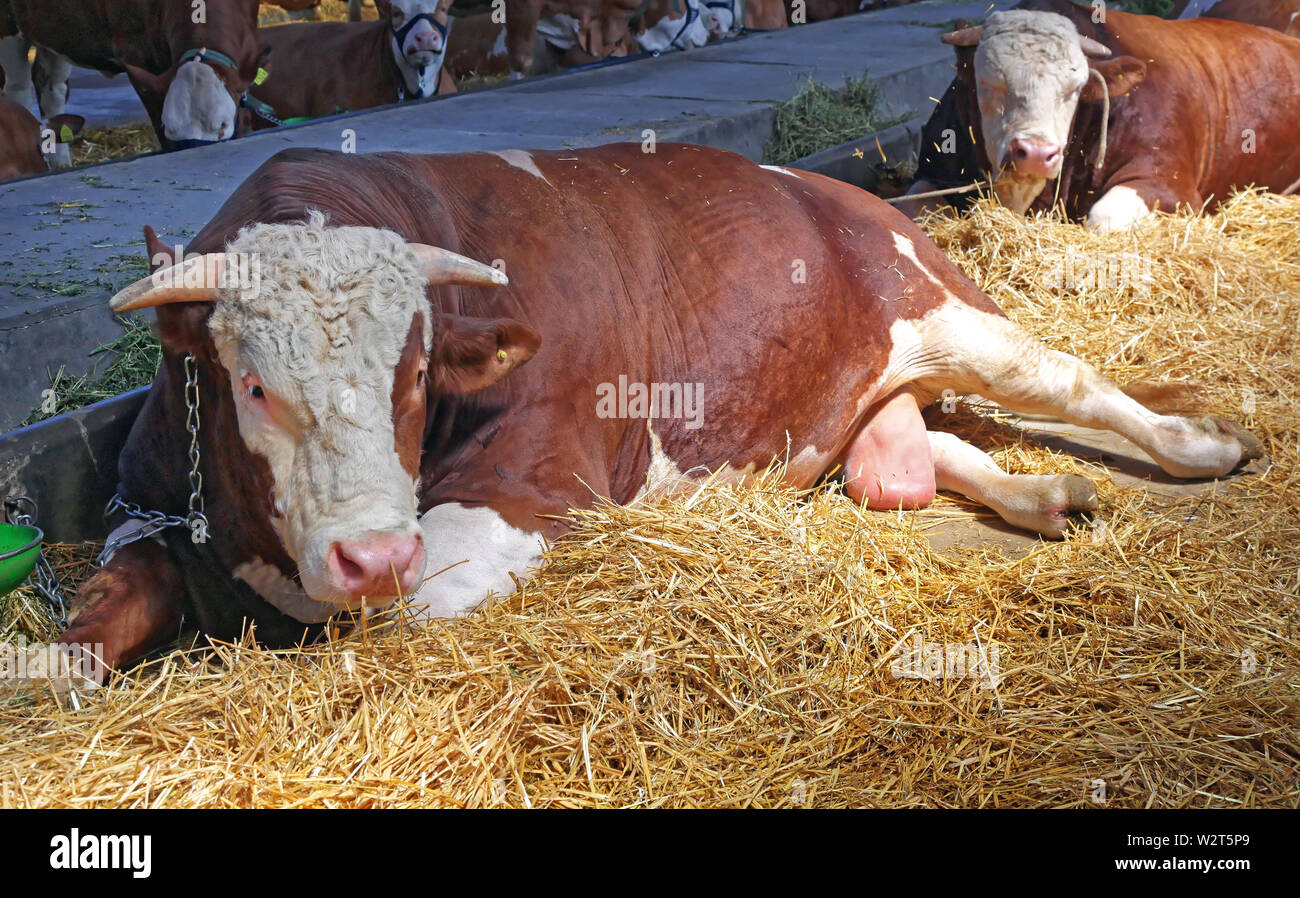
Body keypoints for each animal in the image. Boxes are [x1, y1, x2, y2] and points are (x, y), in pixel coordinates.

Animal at [17, 142, 1260, 691]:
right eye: (252, 385)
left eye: (416, 378)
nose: (370, 553)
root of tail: (840, 191)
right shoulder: (145, 513)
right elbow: (89, 626)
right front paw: (43, 676)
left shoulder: (529, 483)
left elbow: (415, 609)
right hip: (854, 410)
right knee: (916, 452)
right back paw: (1044, 491)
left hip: (952, 310)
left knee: (1077, 382)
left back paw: (1202, 445)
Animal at [898, 3, 1300, 230]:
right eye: (988, 81)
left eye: (1074, 90)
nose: (1035, 153)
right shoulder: (932, 169)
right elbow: (917, 210)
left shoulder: (1171, 186)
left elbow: (1102, 218)